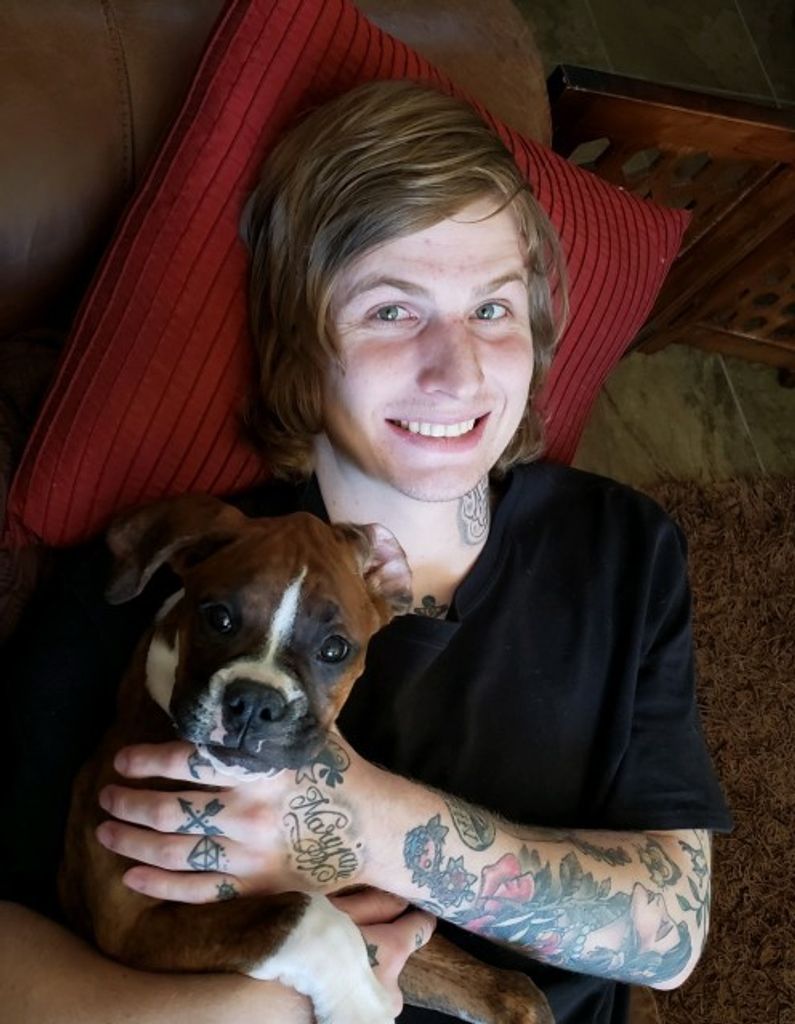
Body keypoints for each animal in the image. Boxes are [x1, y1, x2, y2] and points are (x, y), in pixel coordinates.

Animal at [59, 494, 554, 1024]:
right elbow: (302, 914)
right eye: (219, 617)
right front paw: (363, 1007)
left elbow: (494, 984)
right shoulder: (131, 921)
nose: (255, 703)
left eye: (334, 649)